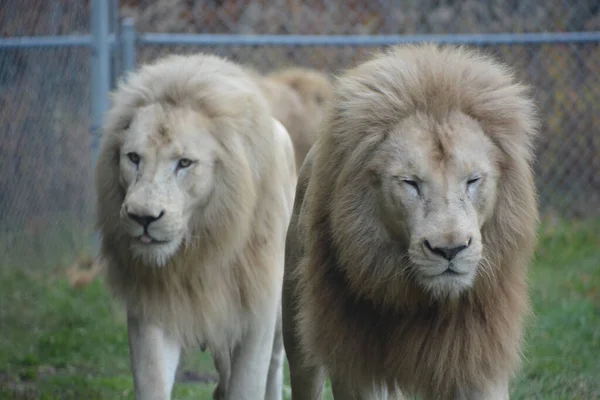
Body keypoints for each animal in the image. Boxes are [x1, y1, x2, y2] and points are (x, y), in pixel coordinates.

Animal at [94, 53, 298, 400]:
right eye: (133, 157)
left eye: (184, 163)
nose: (143, 218)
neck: (199, 255)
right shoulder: (151, 307)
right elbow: (152, 382)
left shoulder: (257, 313)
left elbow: (248, 385)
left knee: (273, 367)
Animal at [284, 43, 540, 400]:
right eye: (410, 183)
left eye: (473, 180)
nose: (450, 250)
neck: (425, 304)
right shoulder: (357, 364)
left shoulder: (476, 356)